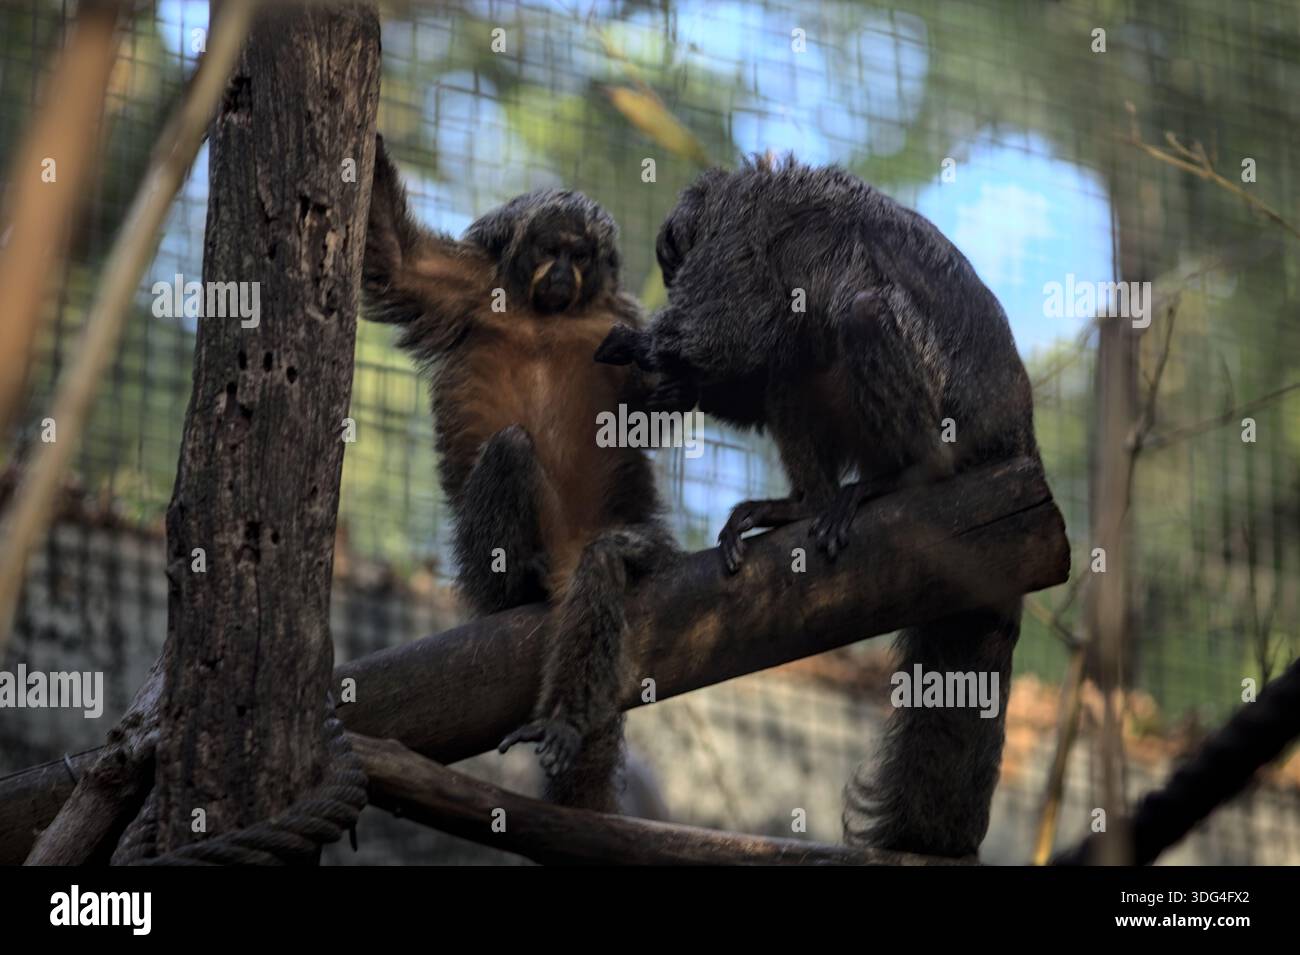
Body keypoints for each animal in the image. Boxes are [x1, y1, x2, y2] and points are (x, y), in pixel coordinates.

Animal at [362, 135, 674, 812]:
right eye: (552, 250)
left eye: (580, 255)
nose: (563, 271)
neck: (547, 314)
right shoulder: (464, 287)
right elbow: (394, 258)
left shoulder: (621, 318)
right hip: (481, 563)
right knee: (508, 450)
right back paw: (518, 584)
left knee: (607, 563)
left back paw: (562, 719)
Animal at [595, 155, 1041, 858]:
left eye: (673, 265)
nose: (669, 278)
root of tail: (1016, 428)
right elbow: (756, 367)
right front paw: (671, 388)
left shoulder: (740, 233)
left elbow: (728, 333)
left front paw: (645, 350)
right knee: (796, 353)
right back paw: (804, 505)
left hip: (955, 424)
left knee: (863, 312)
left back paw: (904, 477)